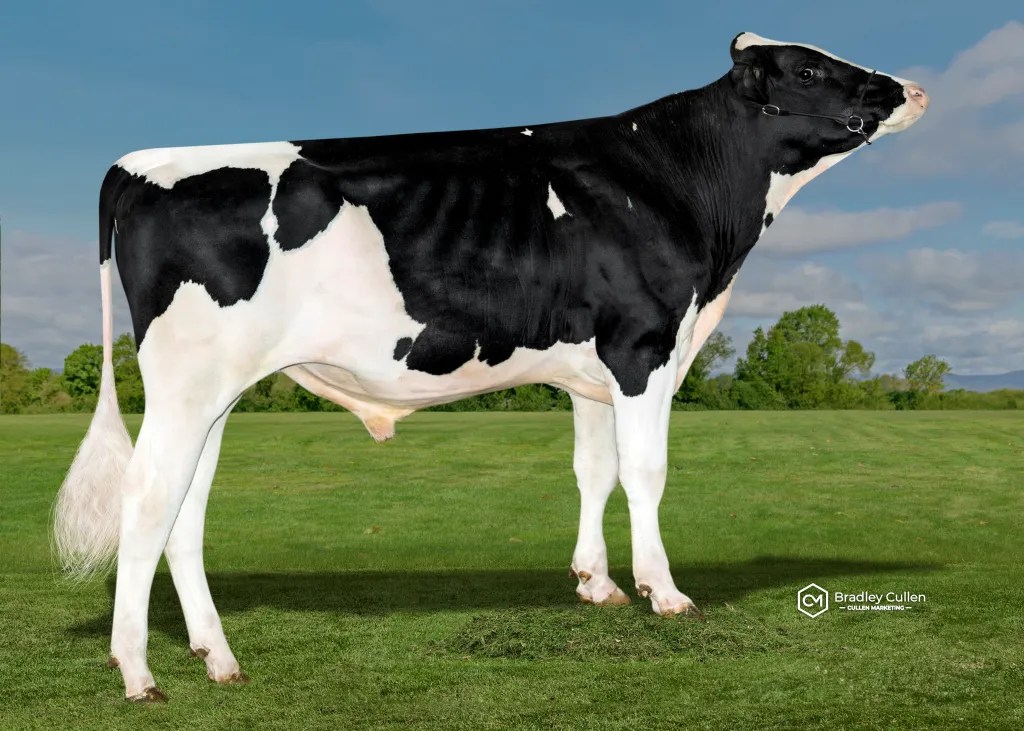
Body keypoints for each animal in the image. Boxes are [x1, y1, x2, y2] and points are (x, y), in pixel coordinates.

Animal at [54, 32, 928, 701]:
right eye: (807, 69)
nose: (912, 87)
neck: (675, 183)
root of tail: (138, 164)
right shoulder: (643, 345)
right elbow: (644, 471)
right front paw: (666, 592)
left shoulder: (593, 368)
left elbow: (593, 469)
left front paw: (598, 583)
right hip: (186, 381)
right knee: (146, 498)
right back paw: (137, 672)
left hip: (212, 393)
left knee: (185, 509)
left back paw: (218, 657)